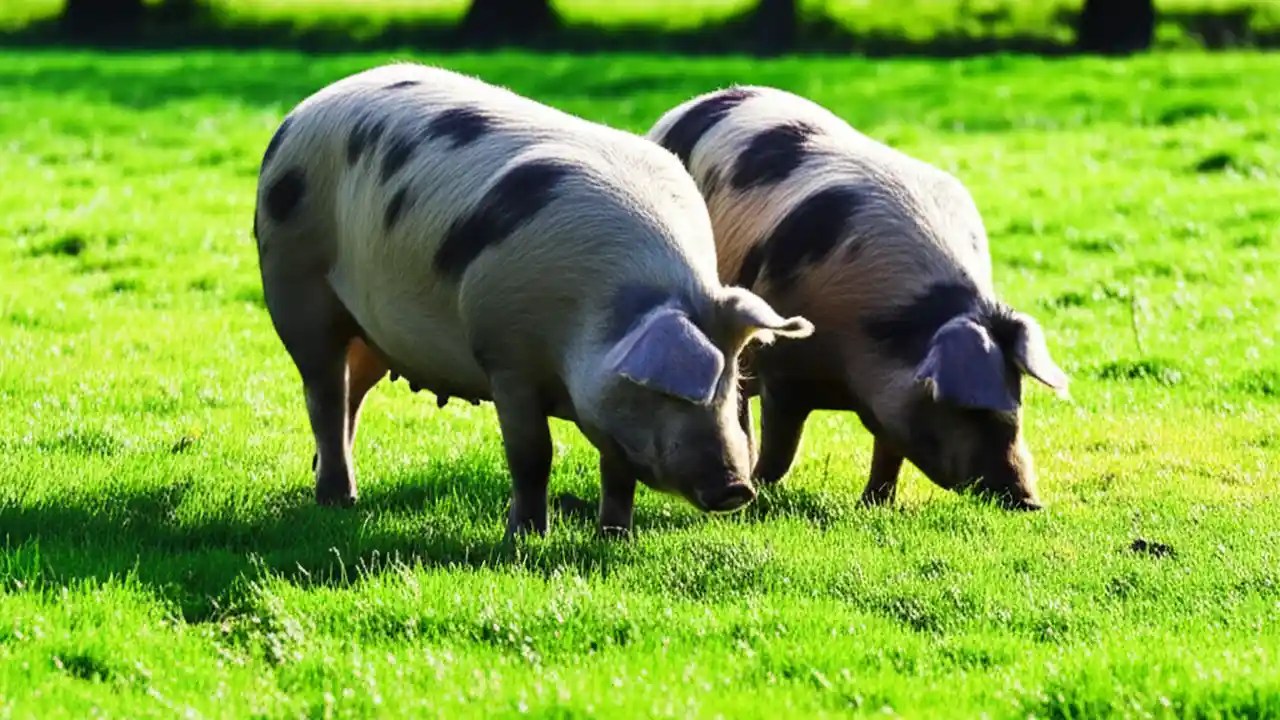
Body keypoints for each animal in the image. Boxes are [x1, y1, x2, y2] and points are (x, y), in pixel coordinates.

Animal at [253, 64, 814, 537]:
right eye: (670, 392)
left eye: (732, 386)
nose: (736, 488)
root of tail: (303, 111)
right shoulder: (505, 356)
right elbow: (531, 454)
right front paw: (525, 538)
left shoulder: (606, 404)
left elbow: (618, 470)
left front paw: (615, 537)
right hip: (293, 280)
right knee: (323, 393)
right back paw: (338, 500)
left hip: (373, 330)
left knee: (352, 392)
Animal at [646, 86, 1068, 510]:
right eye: (970, 410)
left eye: (1018, 400)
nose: (1030, 501)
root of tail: (691, 105)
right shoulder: (782, 372)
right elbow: (781, 447)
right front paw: (758, 491)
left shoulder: (892, 400)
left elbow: (889, 450)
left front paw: (874, 503)